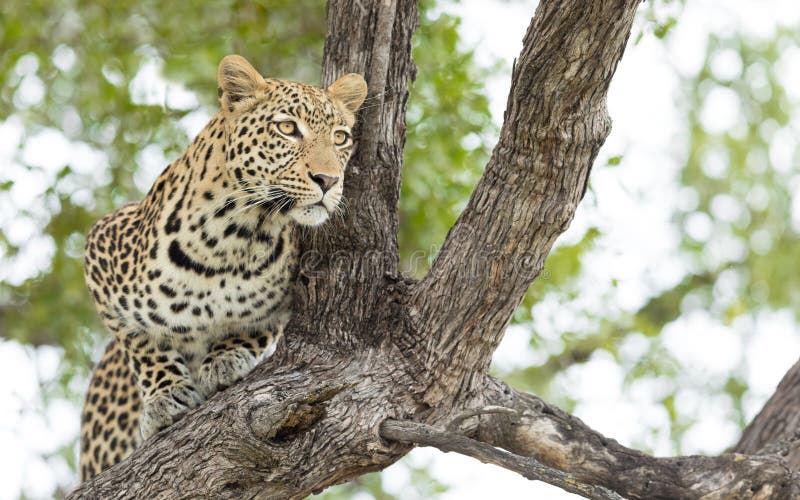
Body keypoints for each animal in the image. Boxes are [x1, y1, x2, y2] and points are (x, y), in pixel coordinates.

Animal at [78, 54, 367, 481]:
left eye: (341, 137)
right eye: (287, 129)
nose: (328, 180)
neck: (234, 236)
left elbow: (260, 324)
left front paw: (225, 358)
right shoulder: (101, 247)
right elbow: (140, 340)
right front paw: (165, 394)